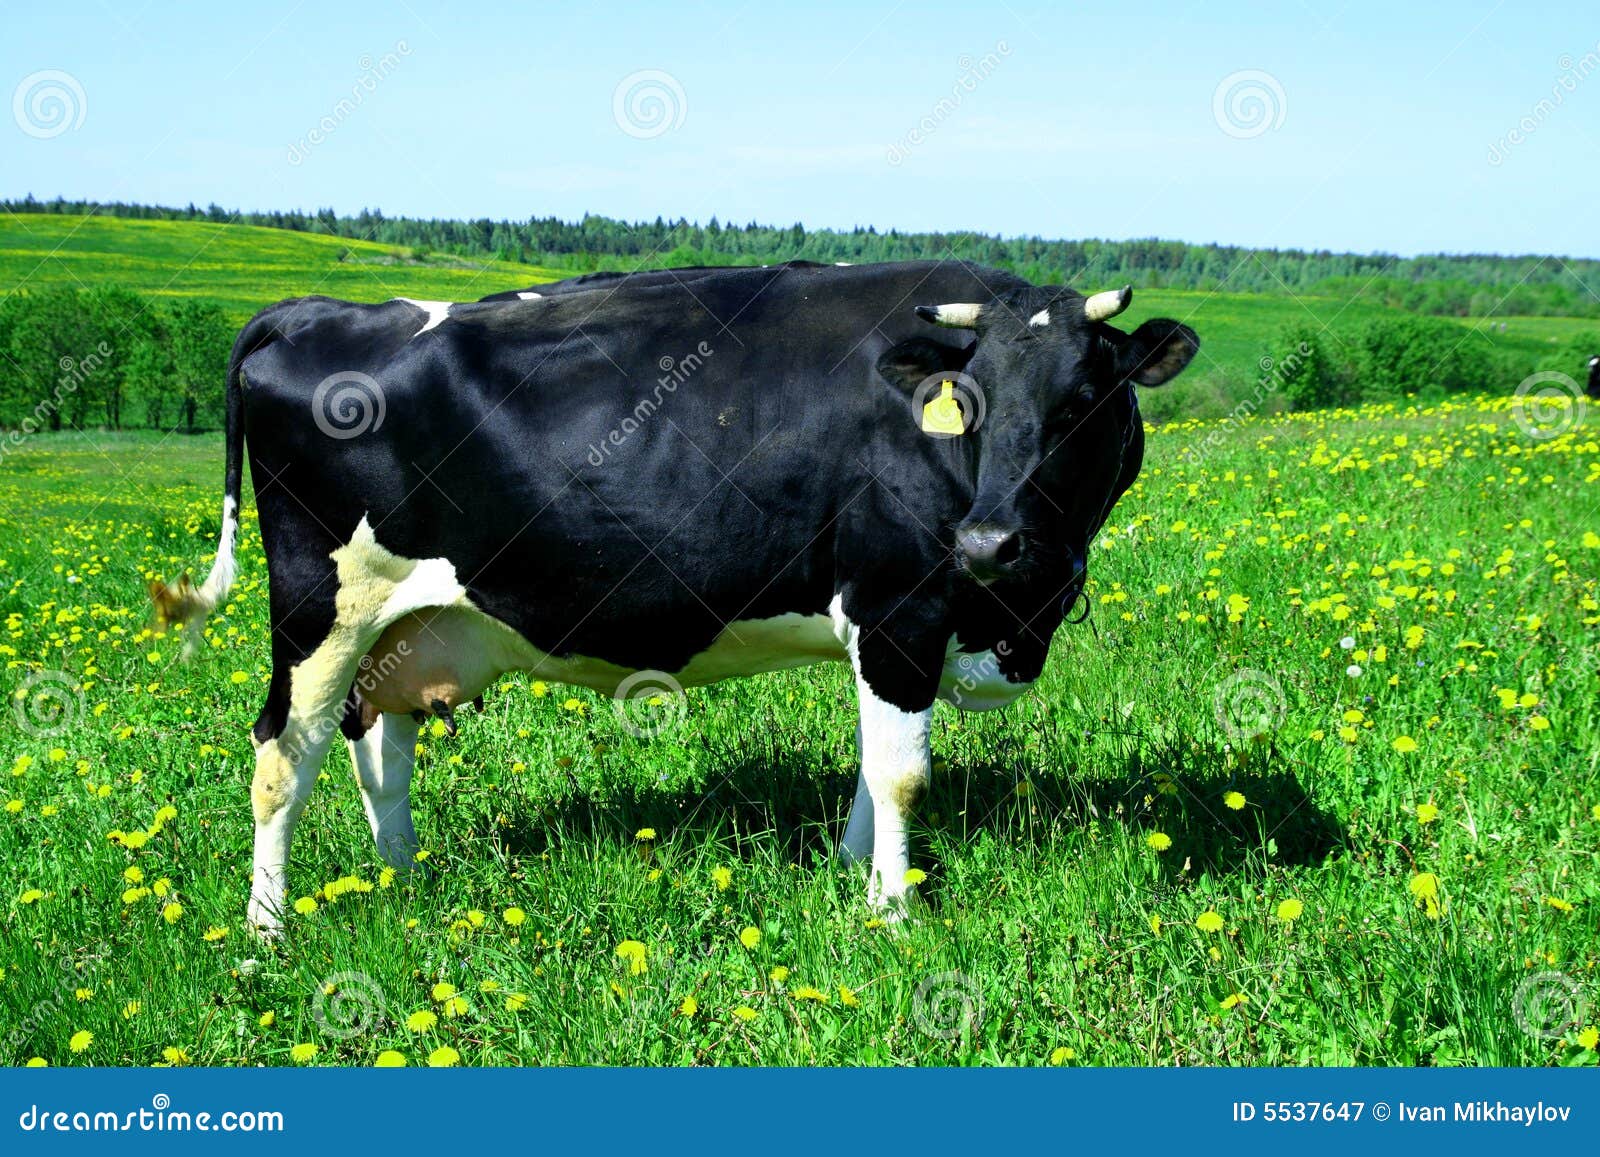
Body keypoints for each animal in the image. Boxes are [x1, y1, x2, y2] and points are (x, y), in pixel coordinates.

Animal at [150, 260, 1199, 936]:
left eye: (1082, 402)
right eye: (968, 400)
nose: (984, 542)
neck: (1016, 618)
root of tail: (317, 310)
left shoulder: (884, 632)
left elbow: (869, 767)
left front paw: (849, 876)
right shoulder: (900, 608)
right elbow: (901, 773)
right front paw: (895, 913)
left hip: (402, 623)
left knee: (379, 750)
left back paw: (404, 880)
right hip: (315, 609)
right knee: (283, 756)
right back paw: (267, 930)